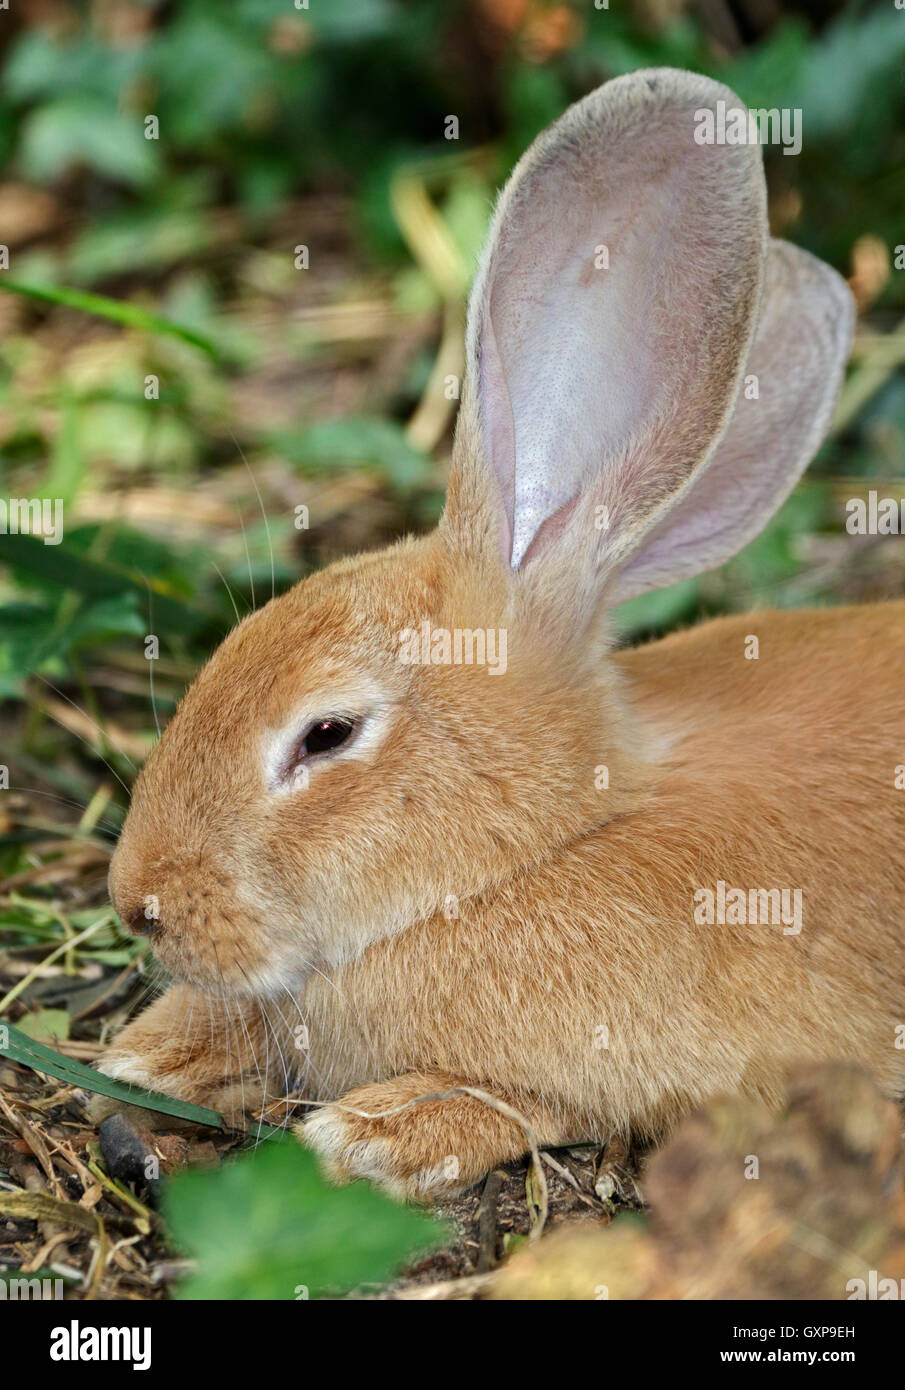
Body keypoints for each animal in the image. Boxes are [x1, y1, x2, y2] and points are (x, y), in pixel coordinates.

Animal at [94, 67, 905, 1202]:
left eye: (327, 734)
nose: (139, 904)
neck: (558, 841)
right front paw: (152, 1048)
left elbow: (528, 1103)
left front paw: (379, 1131)